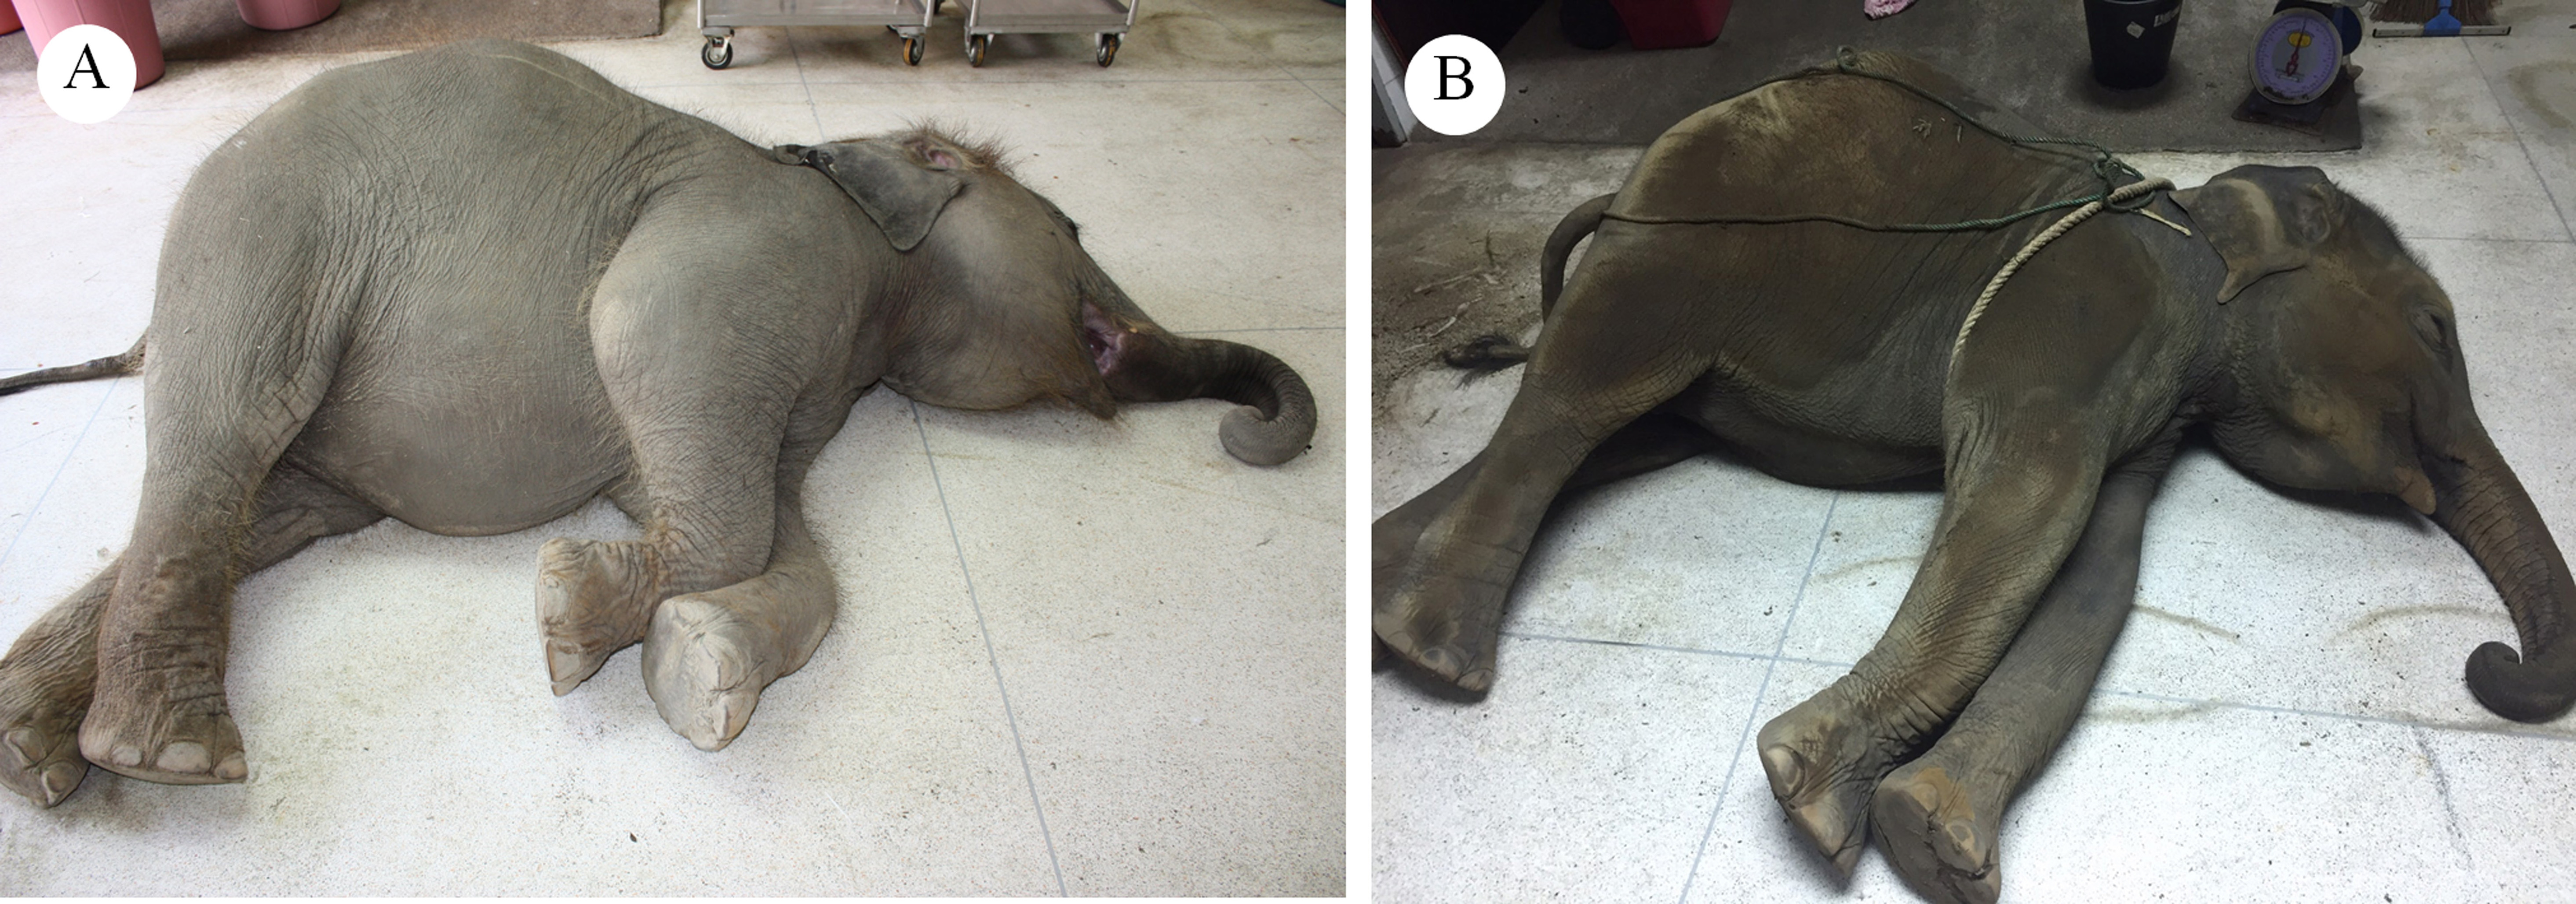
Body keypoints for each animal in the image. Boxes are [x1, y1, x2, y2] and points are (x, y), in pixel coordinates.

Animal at [0, 39, 1315, 808]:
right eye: (1077, 229)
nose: (1242, 437)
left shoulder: (804, 381)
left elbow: (777, 534)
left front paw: (696, 669)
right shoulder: (762, 255)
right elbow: (657, 364)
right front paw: (571, 615)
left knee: (260, 504)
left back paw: (34, 737)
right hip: (264, 227)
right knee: (228, 427)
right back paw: (166, 755)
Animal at [1373, 51, 2573, 902]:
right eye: (2431, 326)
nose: (2487, 660)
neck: (2192, 212)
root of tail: (1623, 181)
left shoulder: (2154, 400)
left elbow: (2097, 570)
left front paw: (1930, 838)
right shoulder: (2084, 305)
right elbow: (2027, 499)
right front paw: (1816, 804)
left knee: (1617, 430)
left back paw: (1388, 594)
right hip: (1692, 242)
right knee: (1581, 398)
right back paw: (1431, 650)